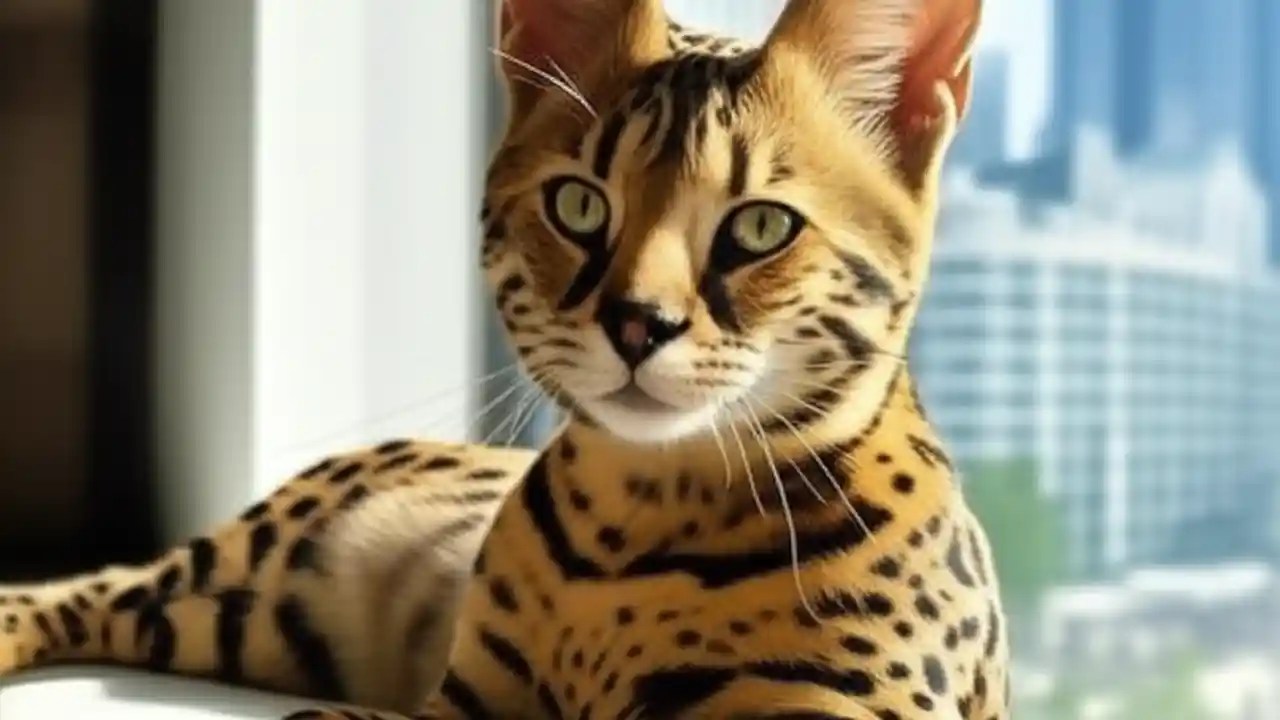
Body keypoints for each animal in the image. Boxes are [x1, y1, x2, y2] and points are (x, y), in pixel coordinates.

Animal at [0, 0, 1007, 718]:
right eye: (579, 206)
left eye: (761, 228)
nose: (637, 325)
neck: (639, 519)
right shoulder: (468, 698)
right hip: (249, 579)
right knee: (87, 587)